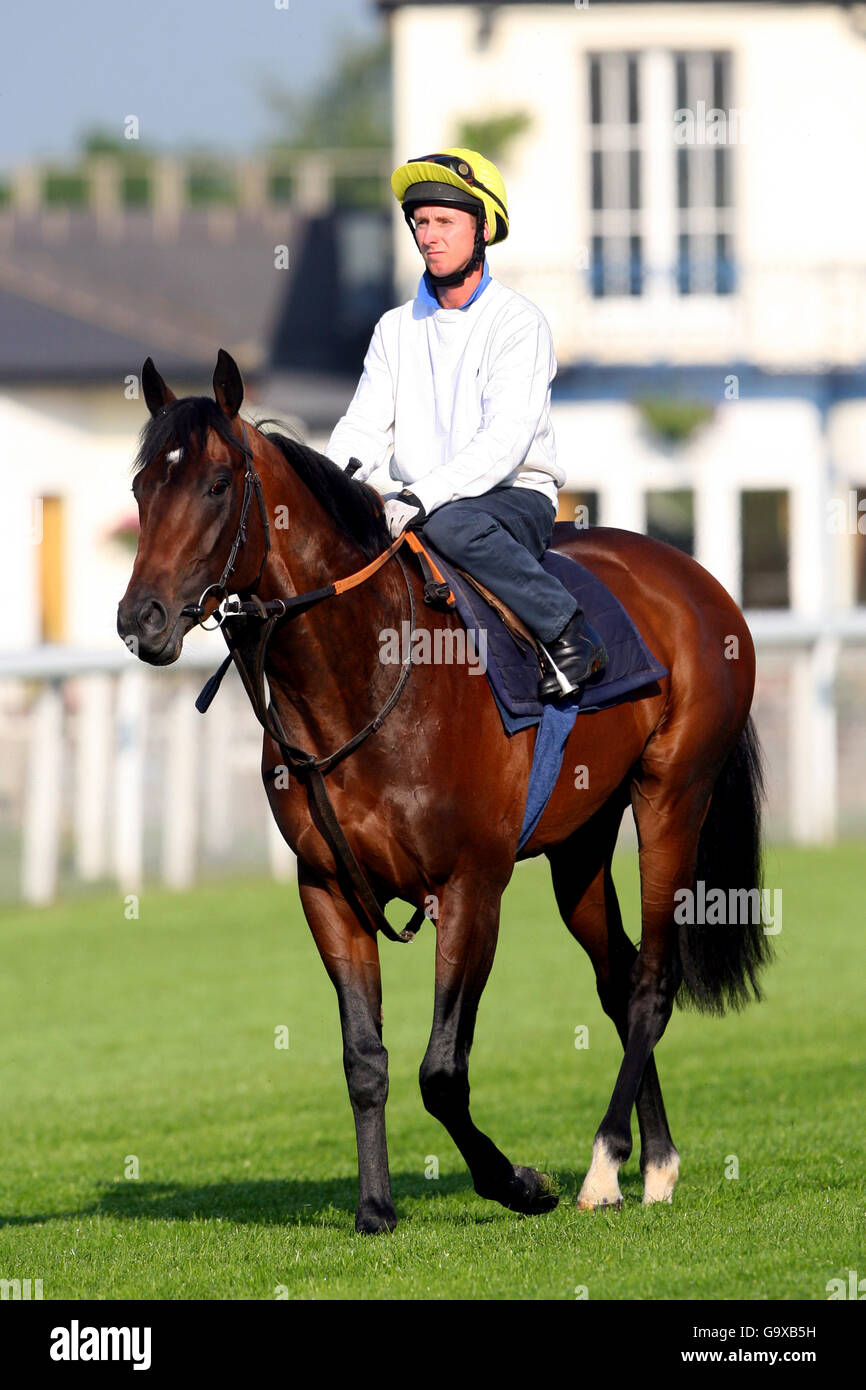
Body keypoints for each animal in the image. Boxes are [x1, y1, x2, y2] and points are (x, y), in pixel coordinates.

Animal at [117, 349, 772, 1235]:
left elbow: (442, 1072)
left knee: (651, 985)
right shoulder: (328, 890)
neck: (367, 676)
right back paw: (650, 1161)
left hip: (672, 798)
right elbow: (365, 1058)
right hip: (580, 844)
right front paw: (375, 1209)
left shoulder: (469, 888)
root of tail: (692, 576)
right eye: (142, 485)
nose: (140, 619)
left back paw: (609, 1164)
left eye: (218, 484)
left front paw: (520, 1183)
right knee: (619, 975)